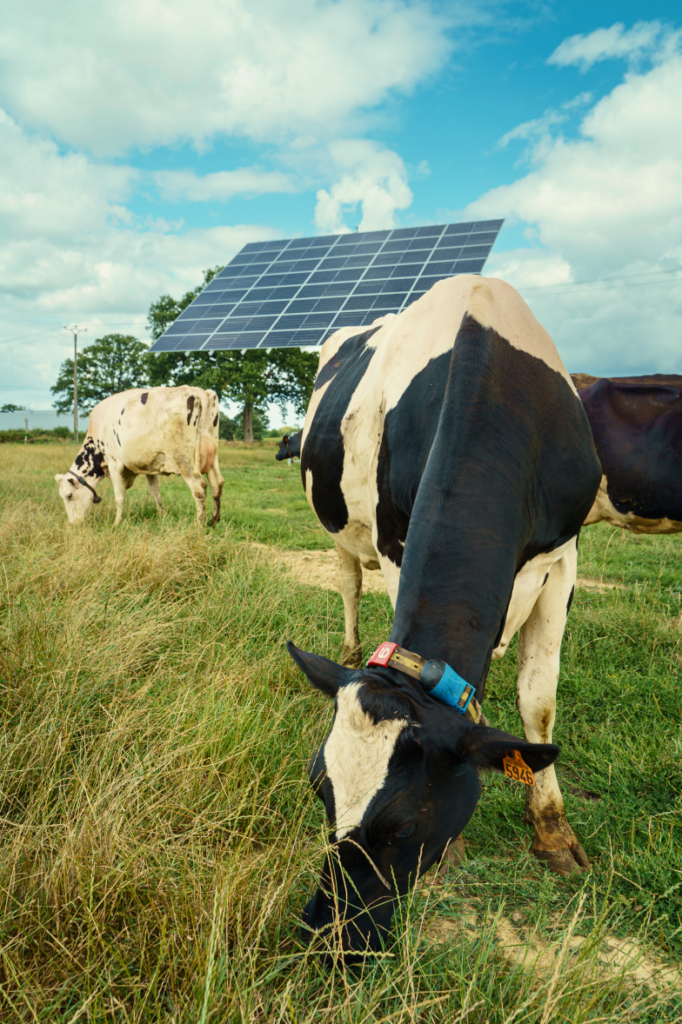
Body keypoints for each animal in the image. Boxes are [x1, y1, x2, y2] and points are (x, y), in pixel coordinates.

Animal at [55, 385, 223, 528]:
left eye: (69, 495)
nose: (73, 523)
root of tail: (199, 392)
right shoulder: (151, 465)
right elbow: (155, 492)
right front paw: (162, 516)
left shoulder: (114, 464)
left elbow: (119, 496)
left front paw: (117, 523)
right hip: (212, 458)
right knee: (217, 484)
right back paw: (213, 520)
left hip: (185, 462)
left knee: (199, 488)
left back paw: (199, 525)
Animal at [286, 276, 602, 954]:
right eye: (320, 791)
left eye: (405, 825)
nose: (329, 935)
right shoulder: (392, 541)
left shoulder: (565, 555)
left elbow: (539, 701)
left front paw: (553, 832)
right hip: (340, 528)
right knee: (348, 584)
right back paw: (345, 651)